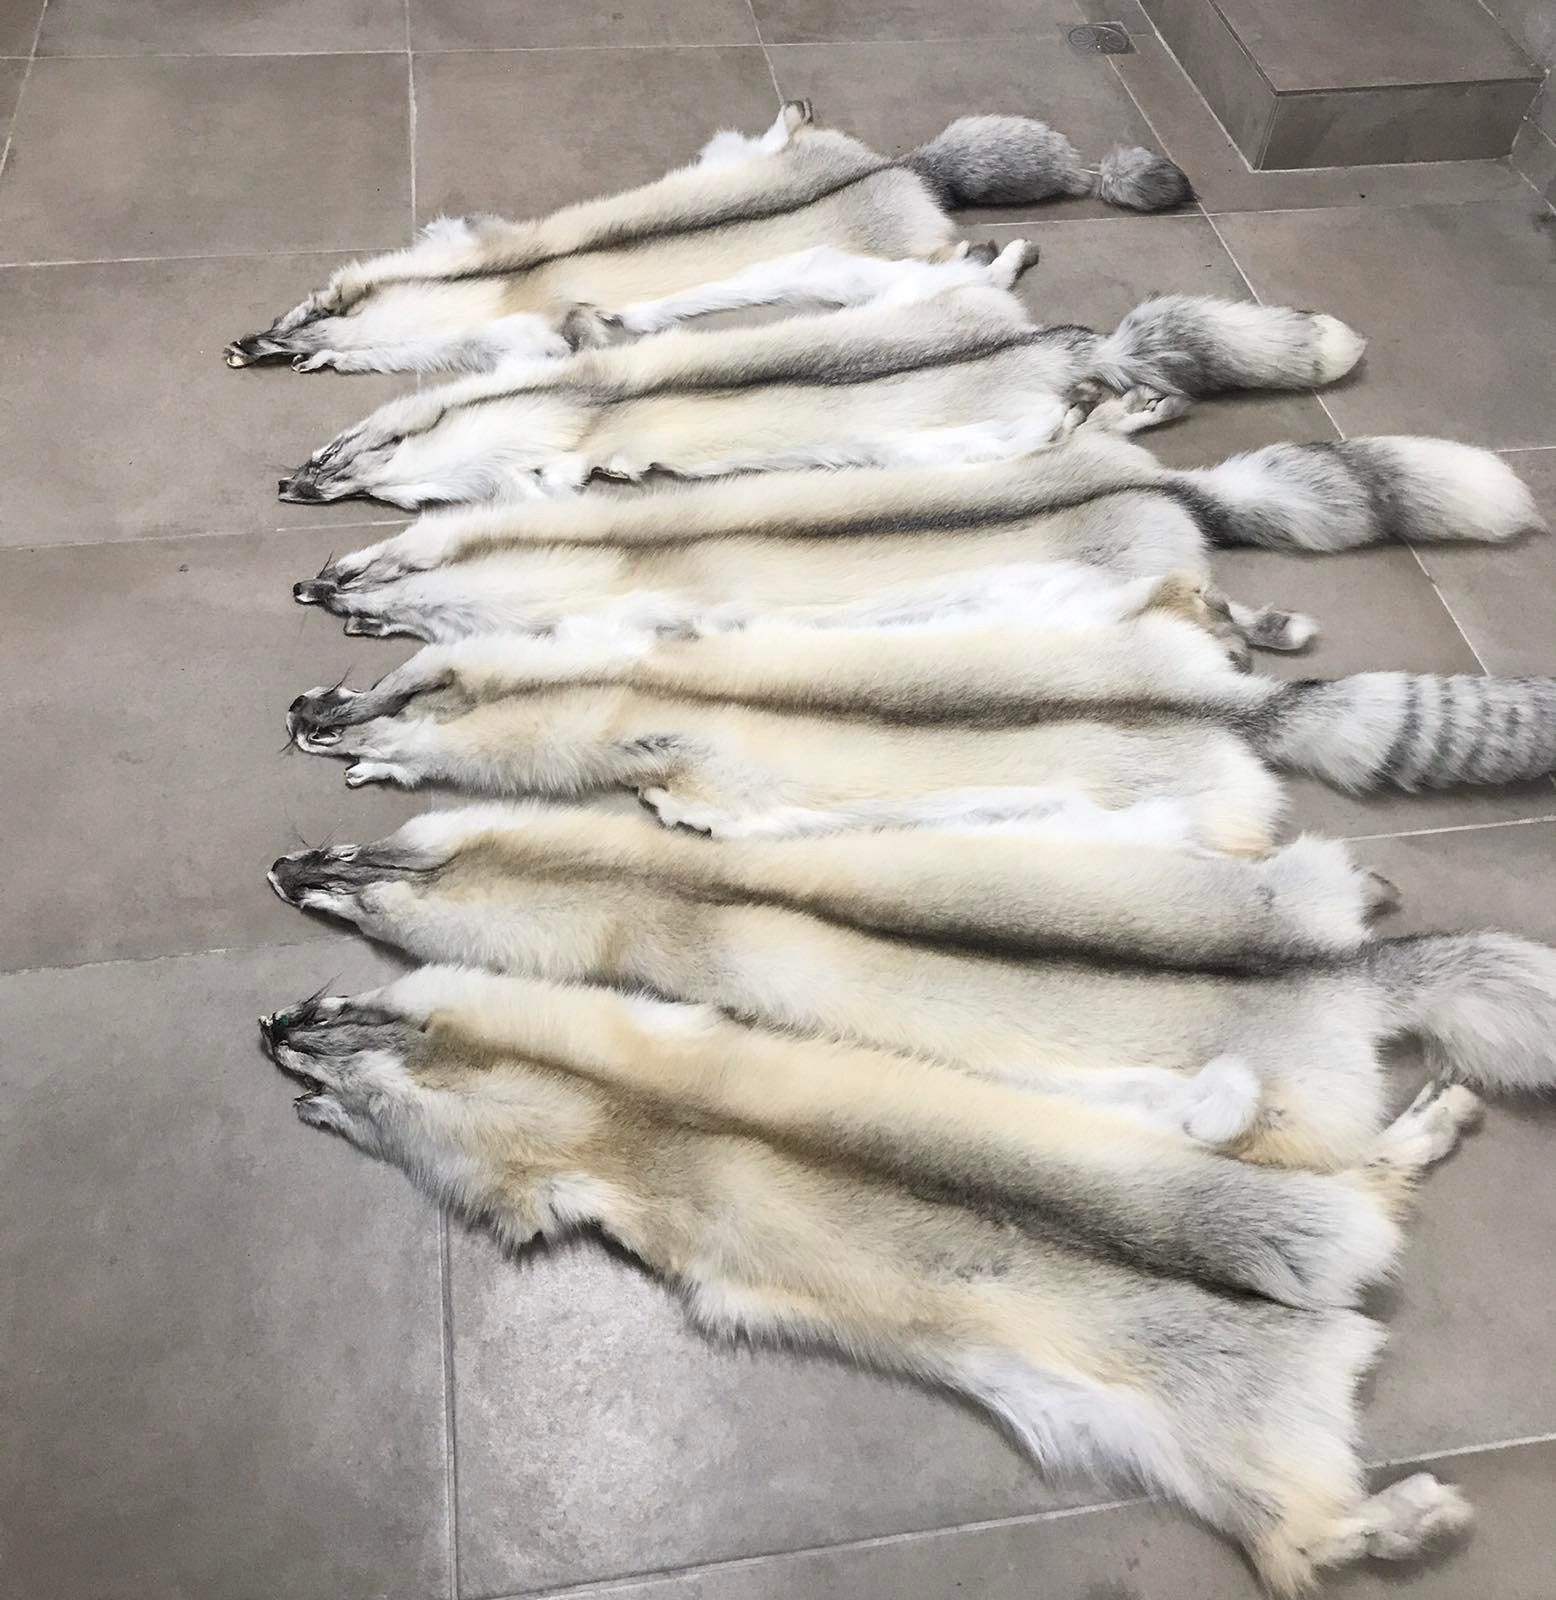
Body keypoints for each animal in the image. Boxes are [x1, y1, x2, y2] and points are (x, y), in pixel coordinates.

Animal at [227, 101, 1191, 376]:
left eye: (294, 332)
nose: (243, 344)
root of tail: (905, 173)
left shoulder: (534, 325)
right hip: (744, 161)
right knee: (780, 134)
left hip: (876, 276)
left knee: (969, 272)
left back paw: (1006, 253)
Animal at [261, 963, 1477, 1593]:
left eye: (322, 1014)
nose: (269, 1021)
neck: (569, 1079)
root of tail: (1331, 1332)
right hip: (1191, 1428)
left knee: (1308, 1542)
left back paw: (1430, 1511)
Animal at [267, 798, 1556, 1172]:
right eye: (325, 852)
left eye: (334, 892)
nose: (278, 868)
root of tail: (1341, 976)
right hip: (1289, 887)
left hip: (1300, 1123)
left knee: (1363, 1162)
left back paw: (1434, 1119)